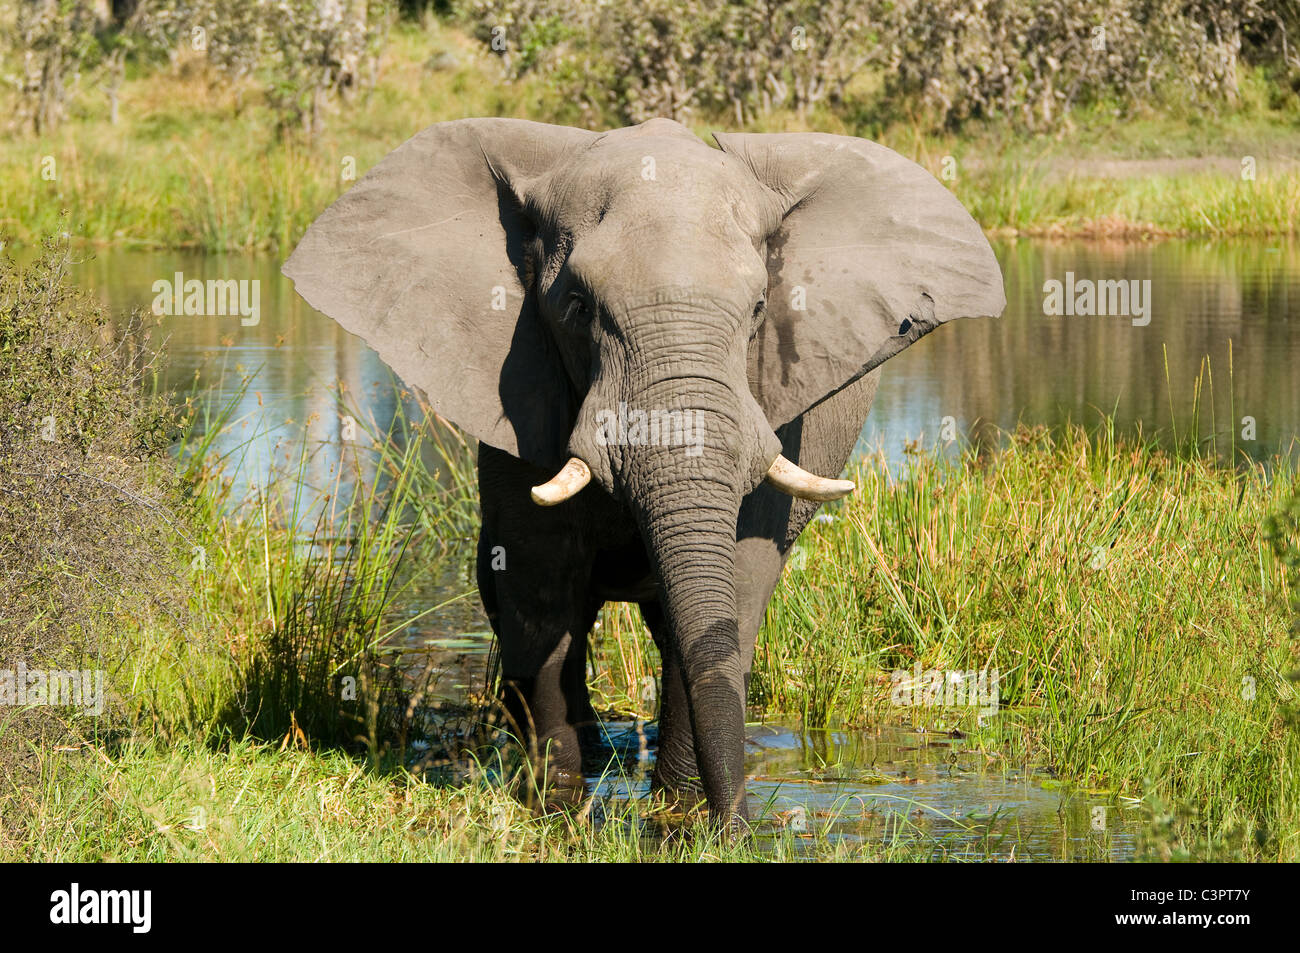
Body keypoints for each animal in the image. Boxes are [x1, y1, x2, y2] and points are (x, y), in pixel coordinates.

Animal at [282, 117, 1005, 828]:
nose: (742, 828)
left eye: (759, 308)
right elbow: (536, 585)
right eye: (577, 306)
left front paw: (678, 817)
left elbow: (731, 592)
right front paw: (561, 803)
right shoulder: (523, 393)